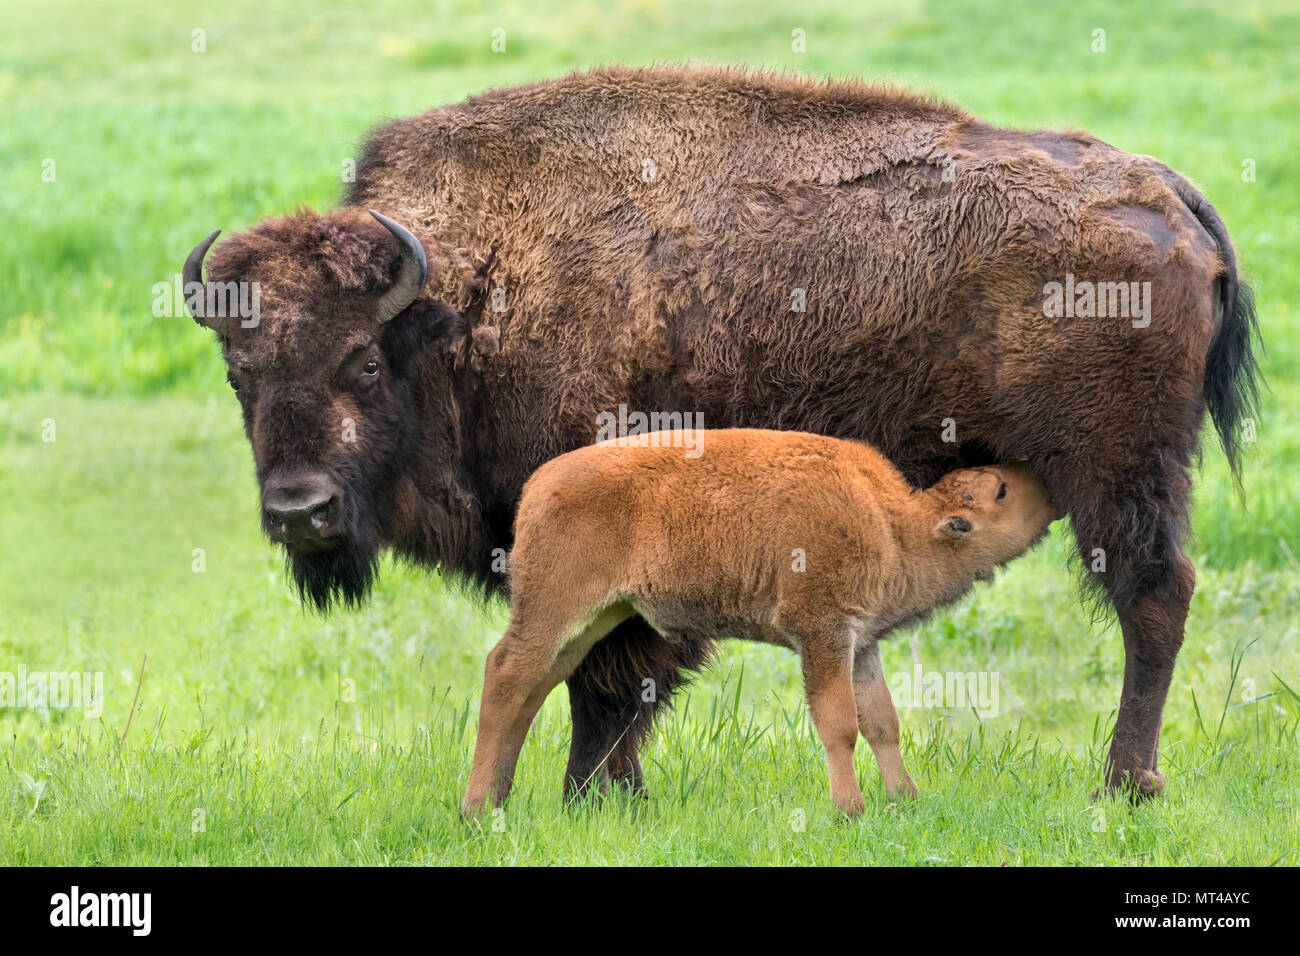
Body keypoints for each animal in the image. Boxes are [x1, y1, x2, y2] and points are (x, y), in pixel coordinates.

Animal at [181, 64, 1259, 802]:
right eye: (241, 372)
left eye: (362, 360)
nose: (301, 511)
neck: (464, 301)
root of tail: (1164, 191)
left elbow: (611, 676)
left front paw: (596, 800)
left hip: (1116, 473)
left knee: (1151, 598)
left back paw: (1124, 782)